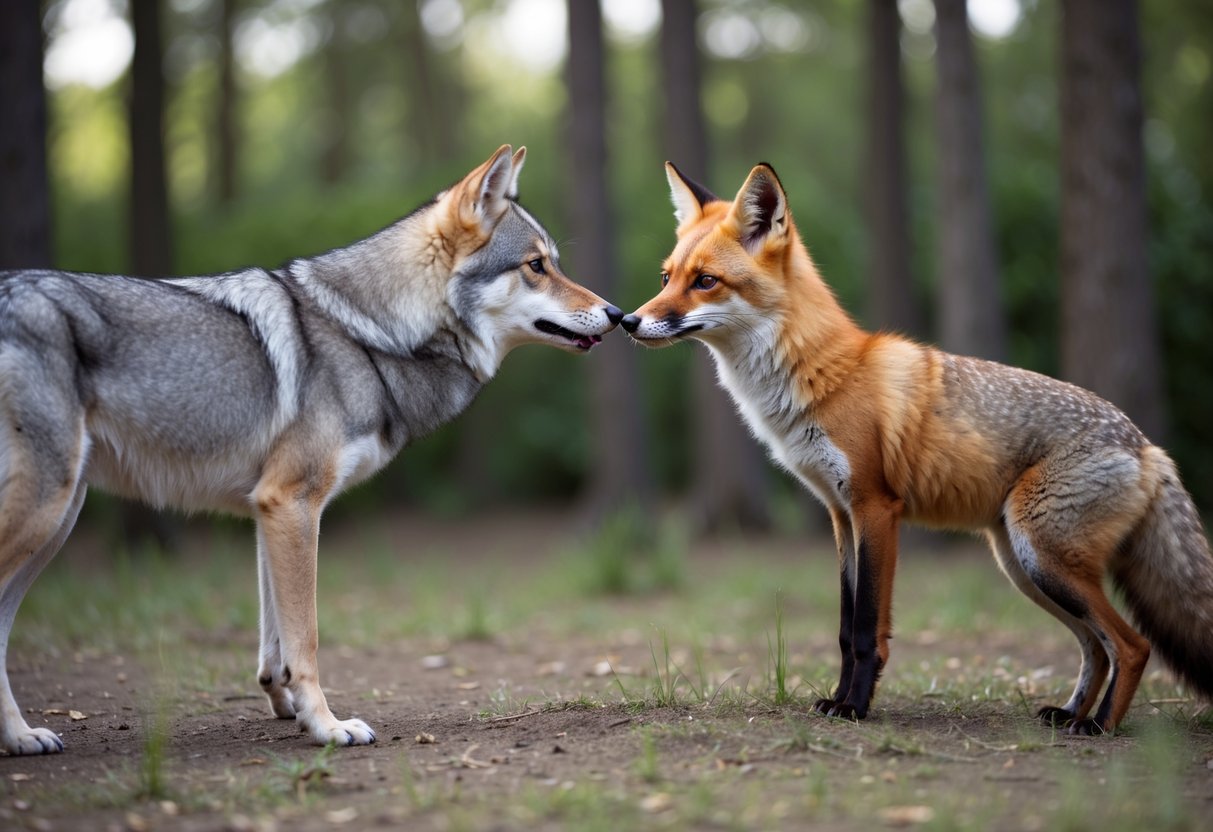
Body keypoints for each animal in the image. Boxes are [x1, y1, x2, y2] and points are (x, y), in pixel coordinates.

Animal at [0, 145, 623, 755]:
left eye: (555, 262)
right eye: (536, 266)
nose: (618, 314)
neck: (369, 332)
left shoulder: (266, 512)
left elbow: (274, 648)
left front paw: (292, 711)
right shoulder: (294, 504)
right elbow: (309, 639)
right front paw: (327, 727)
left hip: (58, 521)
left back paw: (22, 737)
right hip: (48, 512)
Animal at [621, 161, 1213, 734]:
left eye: (706, 281)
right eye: (667, 277)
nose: (629, 320)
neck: (821, 373)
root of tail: (1148, 447)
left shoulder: (876, 507)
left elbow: (866, 630)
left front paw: (855, 709)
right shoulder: (840, 514)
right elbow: (844, 627)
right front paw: (840, 699)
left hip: (1045, 559)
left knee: (1133, 645)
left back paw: (1100, 728)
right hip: (1024, 566)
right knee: (1097, 645)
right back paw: (1070, 715)